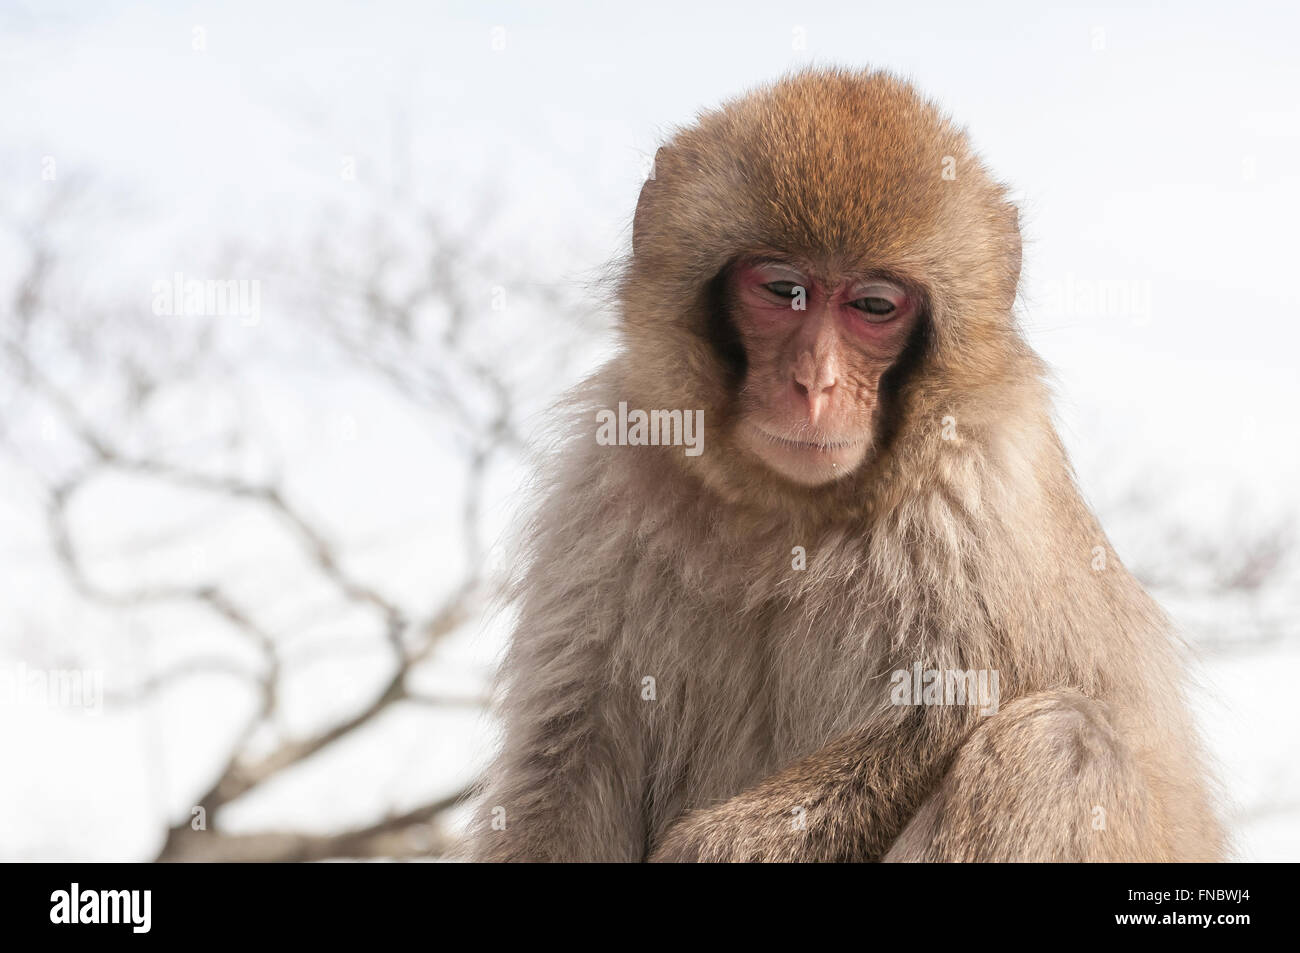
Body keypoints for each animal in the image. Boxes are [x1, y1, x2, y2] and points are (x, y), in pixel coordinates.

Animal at [469, 68, 1225, 862]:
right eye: (783, 291)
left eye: (873, 306)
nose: (817, 383)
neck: (786, 506)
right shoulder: (606, 470)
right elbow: (564, 758)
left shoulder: (974, 487)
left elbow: (949, 708)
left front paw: (711, 848)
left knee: (1062, 744)